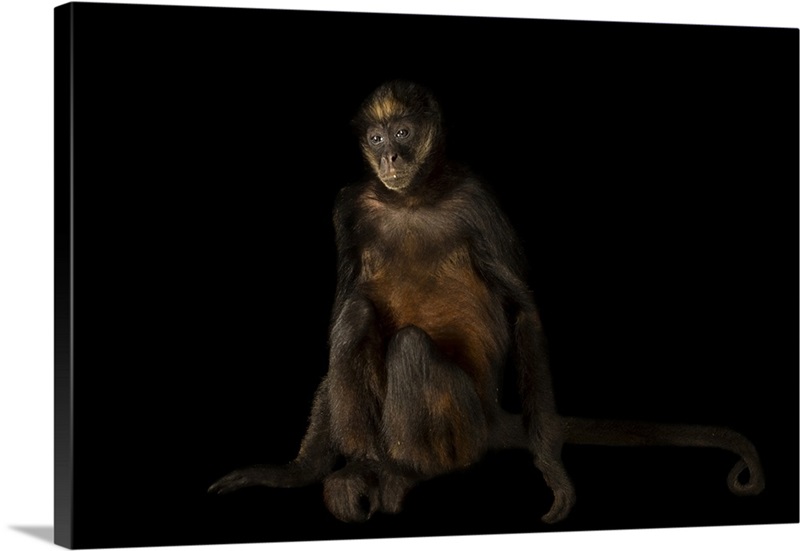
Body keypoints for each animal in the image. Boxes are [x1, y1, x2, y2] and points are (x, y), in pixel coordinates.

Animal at [208, 80, 765, 524]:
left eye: (403, 133)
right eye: (377, 138)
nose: (390, 157)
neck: (411, 199)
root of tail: (494, 417)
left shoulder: (477, 199)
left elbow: (523, 310)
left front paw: (552, 470)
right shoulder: (349, 208)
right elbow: (341, 315)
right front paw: (295, 472)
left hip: (466, 426)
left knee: (409, 347)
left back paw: (405, 471)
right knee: (355, 318)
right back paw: (363, 465)